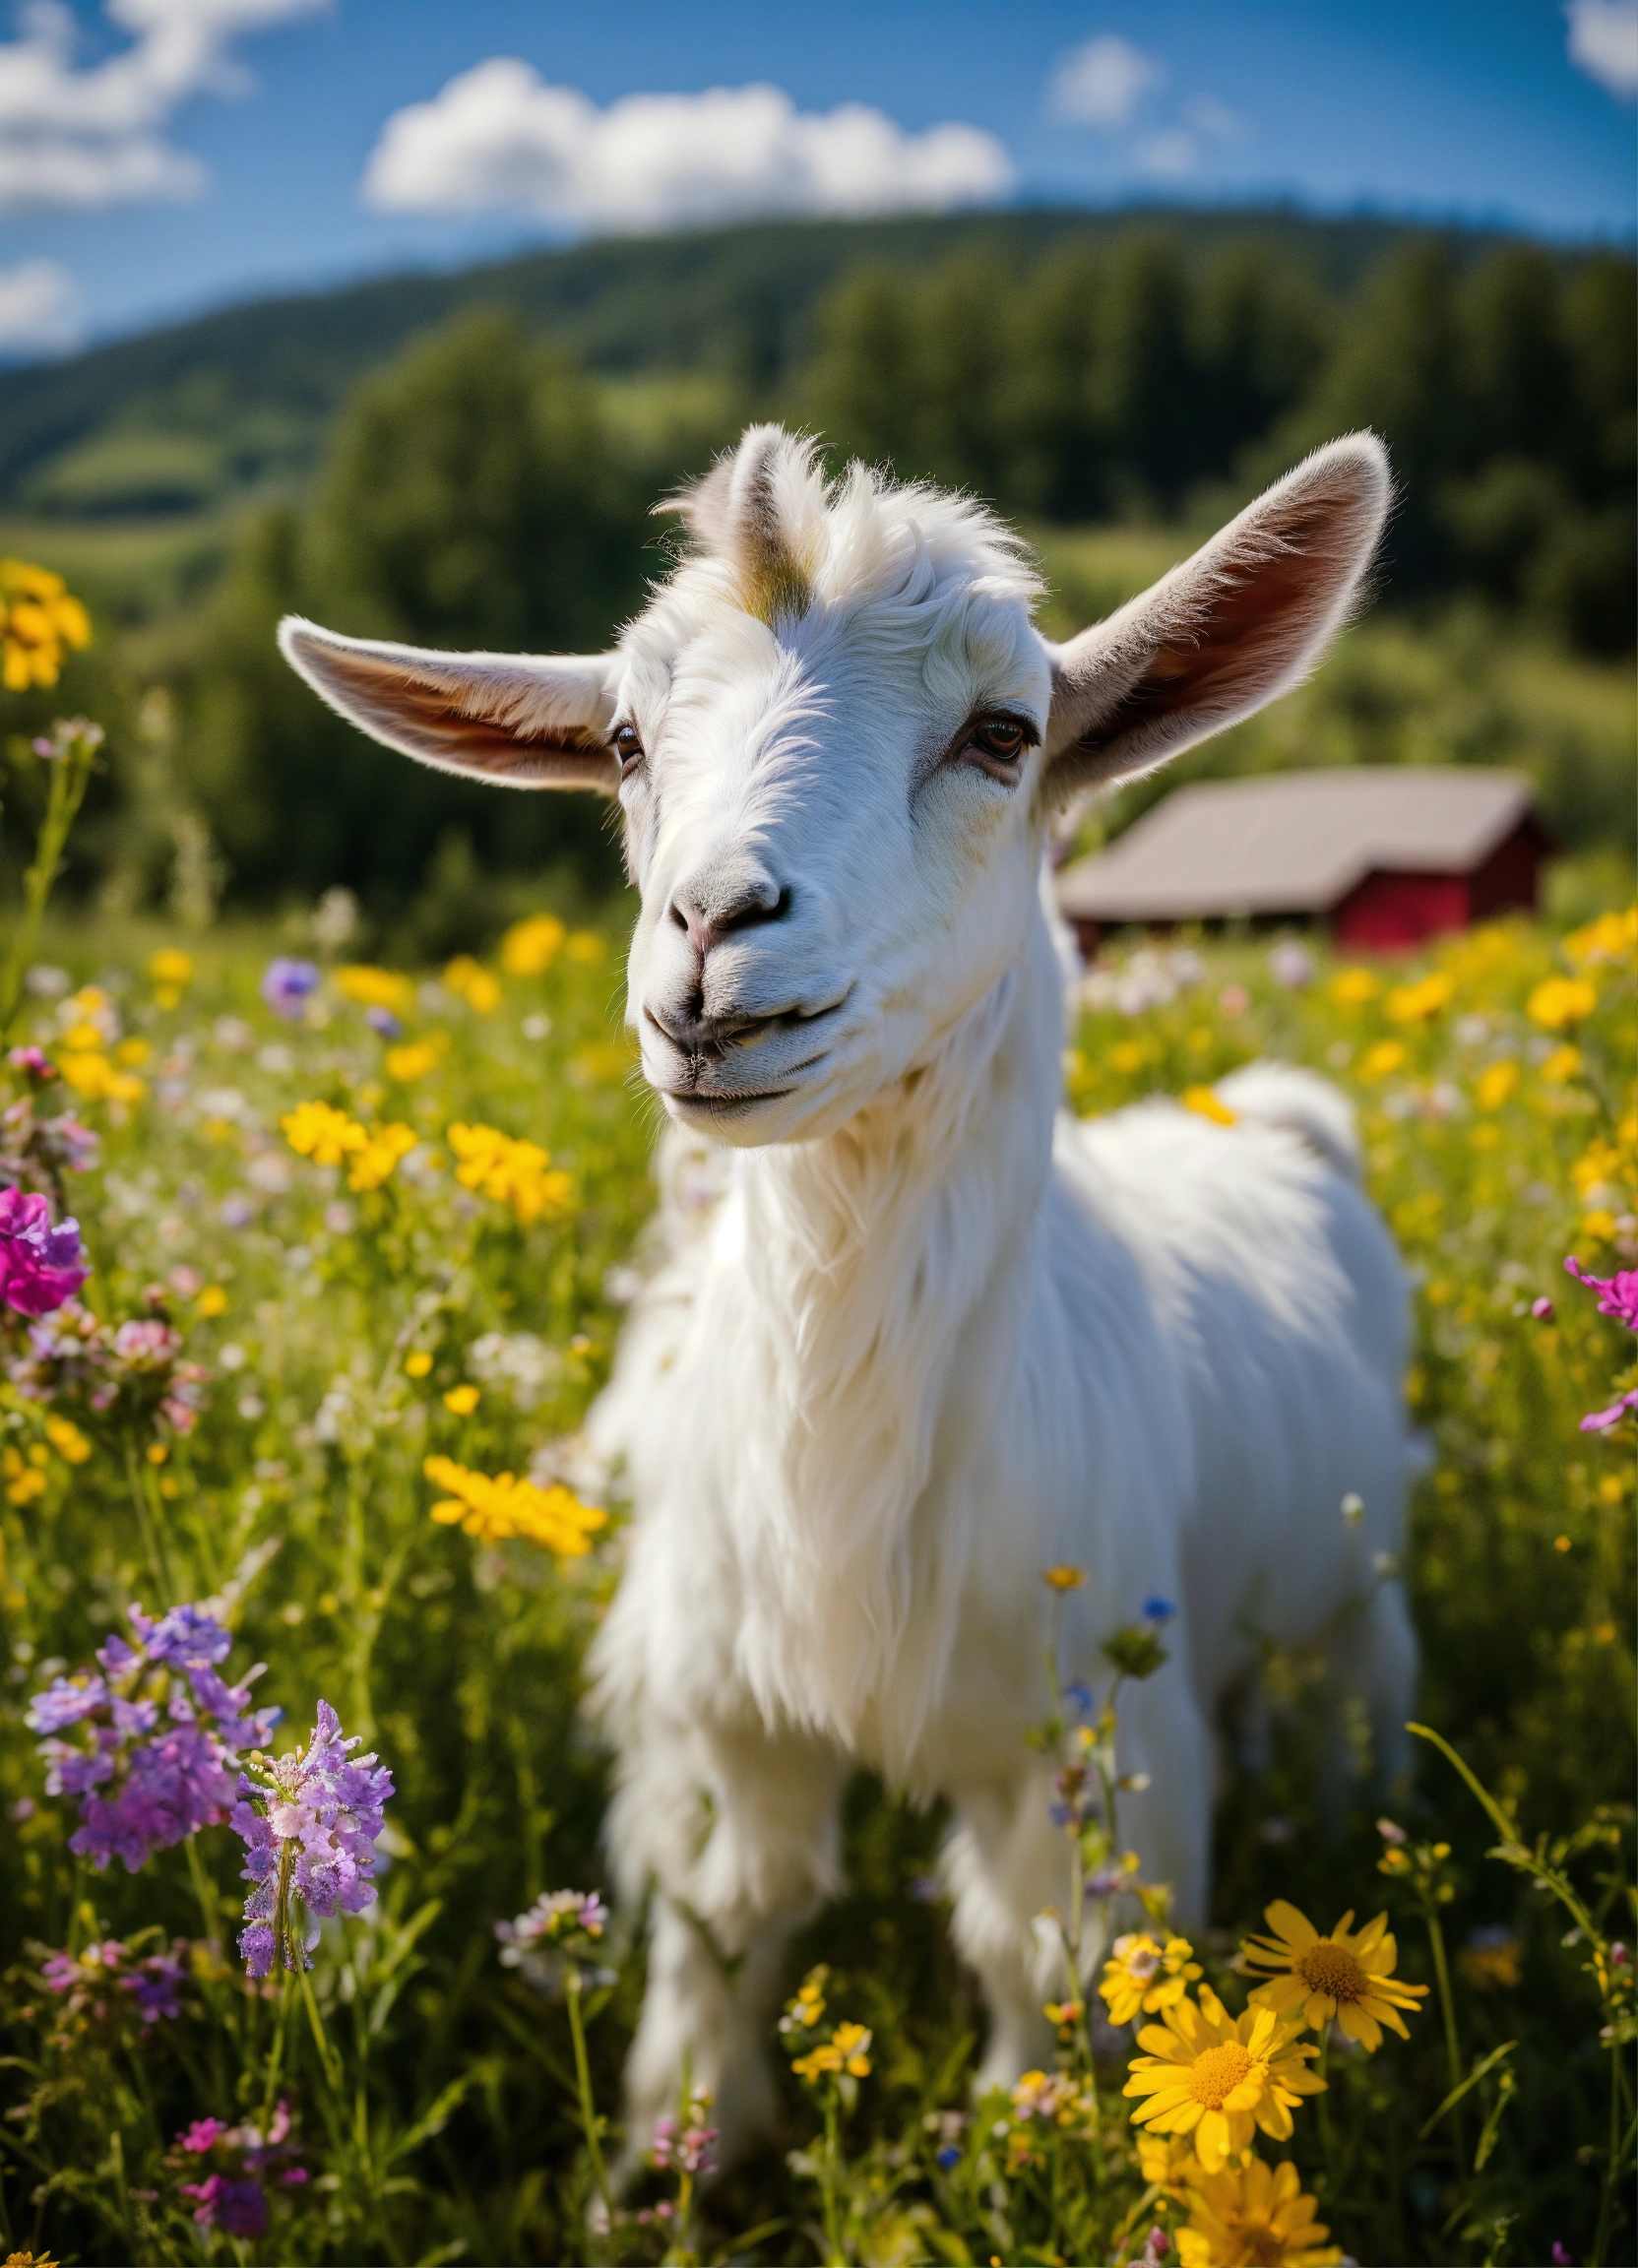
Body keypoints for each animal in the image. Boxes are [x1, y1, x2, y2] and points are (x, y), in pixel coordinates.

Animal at [279, 425, 1417, 2161]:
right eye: (624, 741)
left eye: (1004, 733)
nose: (712, 942)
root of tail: (1266, 1116)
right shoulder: (721, 1727)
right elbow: (724, 1936)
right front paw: (665, 2167)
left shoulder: (1083, 1747)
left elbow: (1042, 1970)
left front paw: (1028, 2159)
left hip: (1359, 1588)